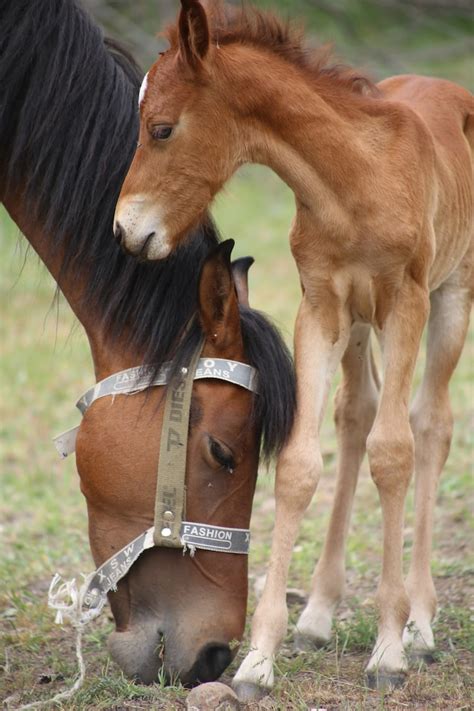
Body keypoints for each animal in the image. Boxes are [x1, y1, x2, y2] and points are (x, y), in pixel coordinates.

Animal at [114, 0, 474, 698]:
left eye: (161, 128)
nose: (125, 230)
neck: (355, 180)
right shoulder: (322, 305)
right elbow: (304, 462)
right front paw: (260, 659)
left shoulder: (406, 302)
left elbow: (395, 453)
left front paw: (389, 649)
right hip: (359, 326)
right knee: (356, 414)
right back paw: (321, 615)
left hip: (450, 297)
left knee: (430, 424)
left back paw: (420, 623)